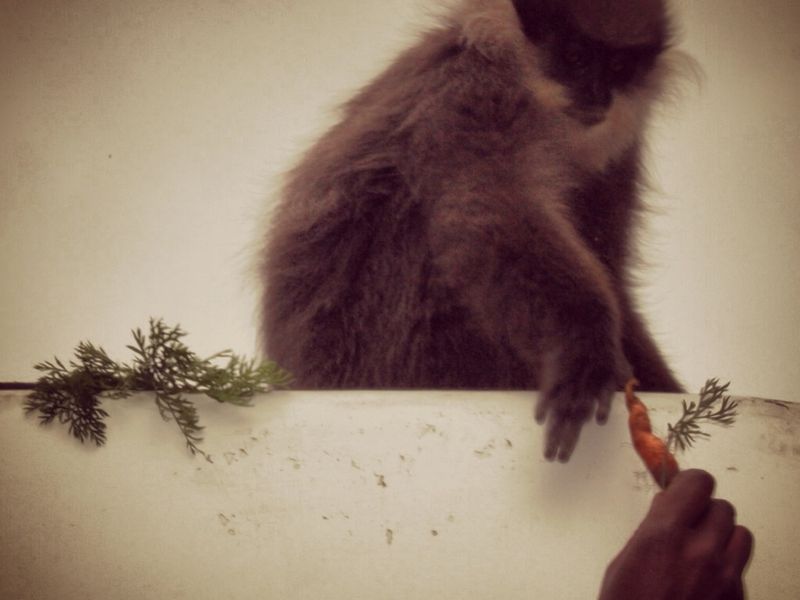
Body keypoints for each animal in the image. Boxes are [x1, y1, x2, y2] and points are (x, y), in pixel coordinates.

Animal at [259, 0, 685, 462]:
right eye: (575, 57)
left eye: (619, 66)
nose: (597, 93)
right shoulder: (476, 92)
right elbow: (485, 210)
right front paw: (582, 350)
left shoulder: (618, 153)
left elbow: (610, 271)